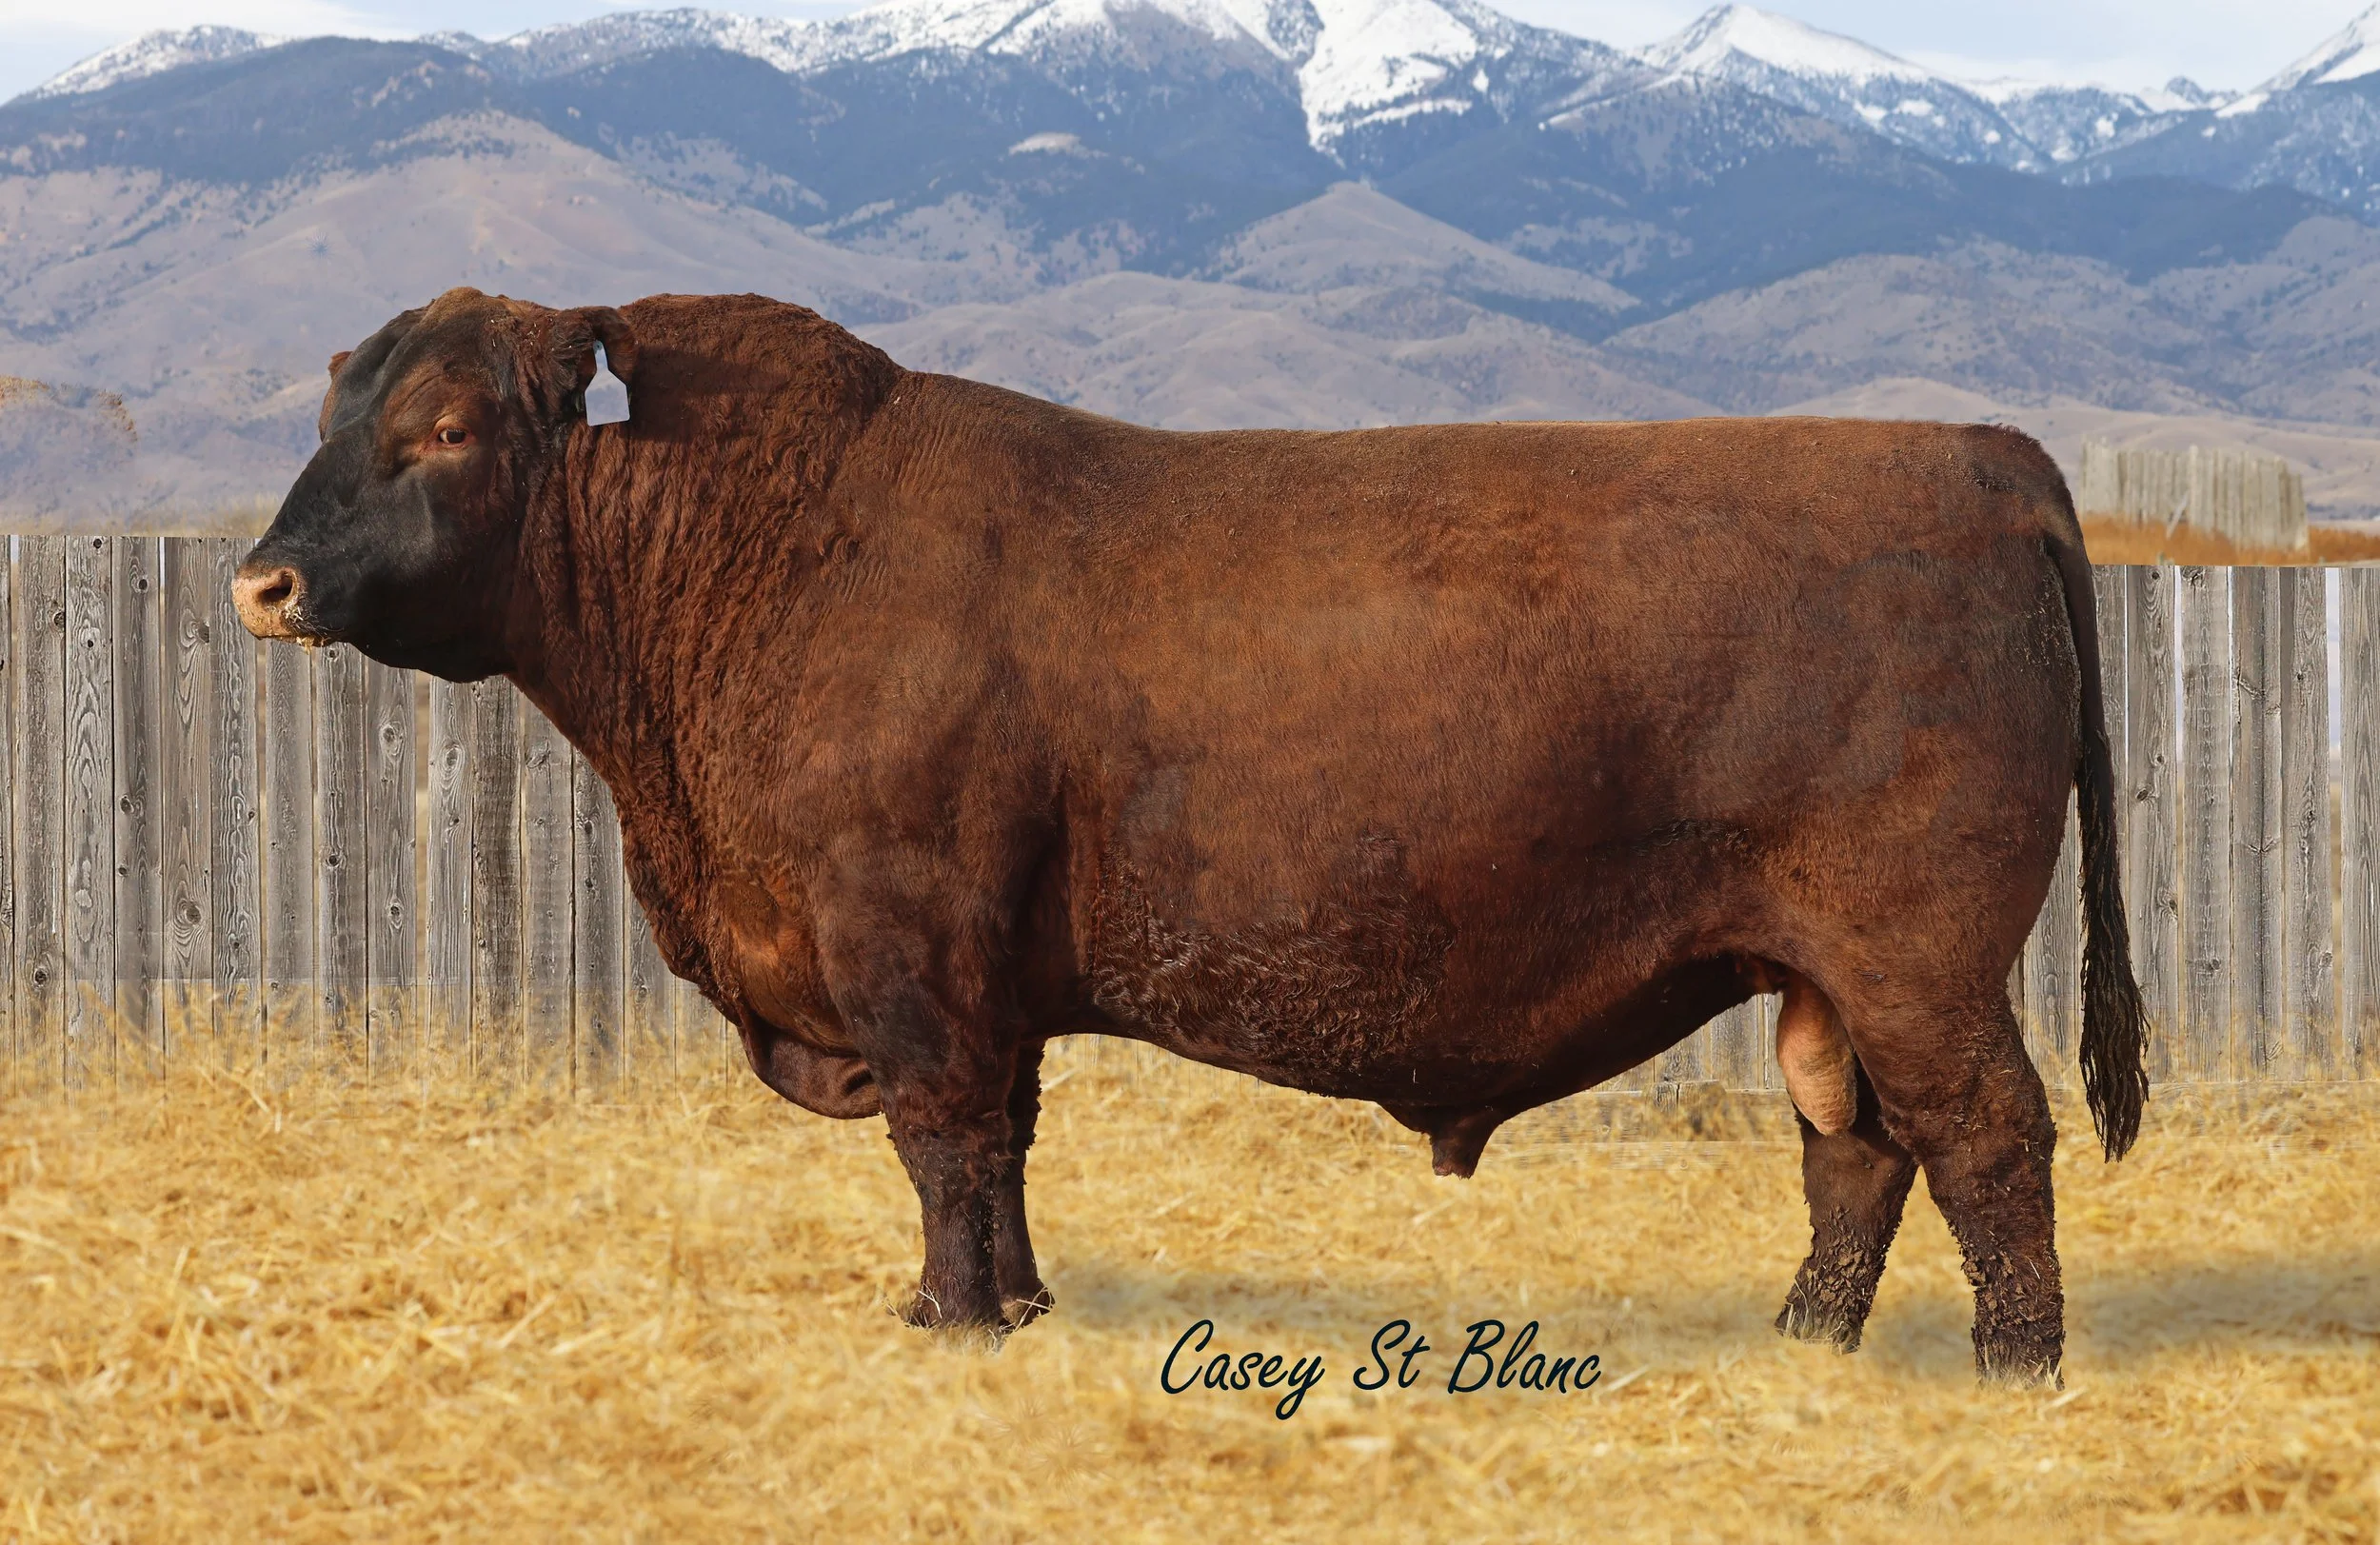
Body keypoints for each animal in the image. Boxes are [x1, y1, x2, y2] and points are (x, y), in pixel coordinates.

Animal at [235, 287, 2148, 1384]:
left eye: (443, 426)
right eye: (331, 413)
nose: (261, 581)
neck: (773, 537)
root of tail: (1979, 454)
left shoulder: (910, 947)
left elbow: (942, 1141)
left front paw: (943, 1323)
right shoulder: (990, 979)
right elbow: (1005, 1144)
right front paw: (1016, 1307)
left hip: (1918, 955)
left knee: (1987, 1136)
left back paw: (2014, 1369)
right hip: (1817, 973)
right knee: (1855, 1147)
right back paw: (1806, 1342)